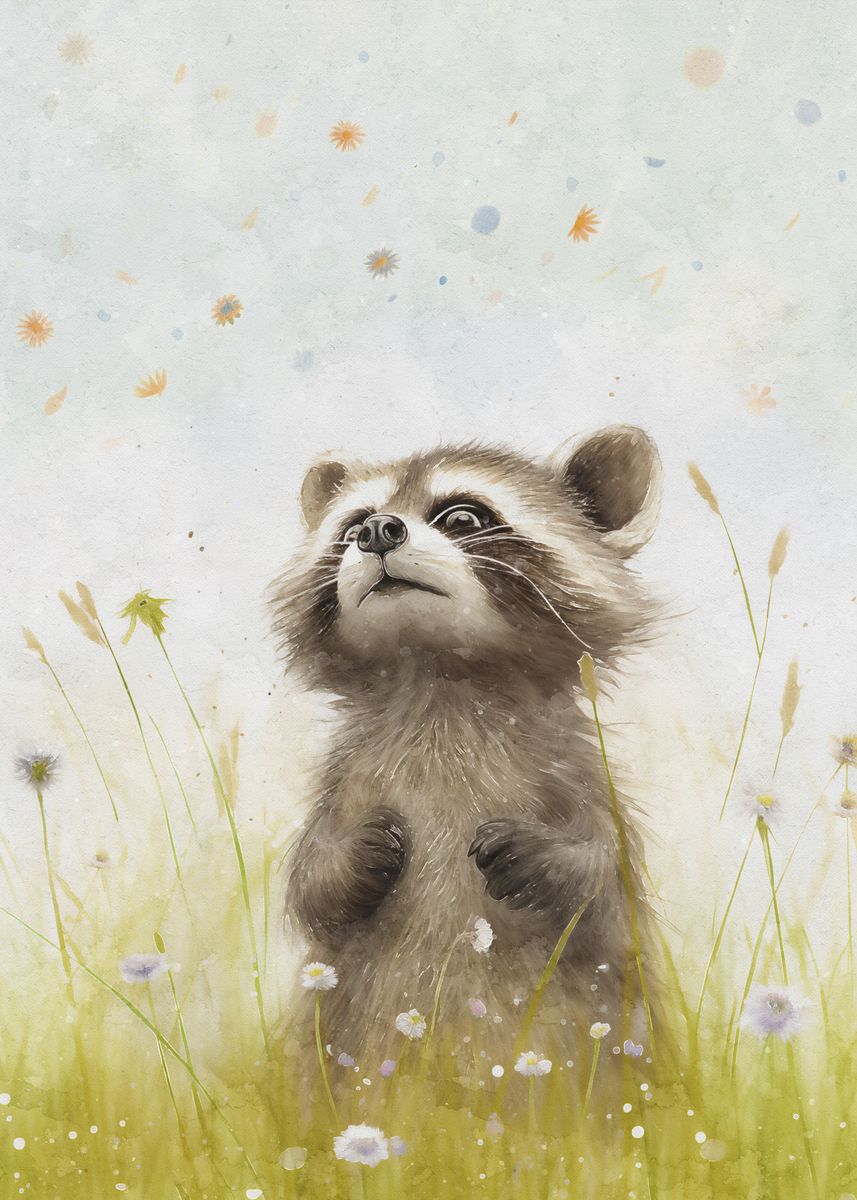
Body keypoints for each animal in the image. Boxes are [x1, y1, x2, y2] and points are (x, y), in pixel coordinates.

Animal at [273, 425, 662, 1070]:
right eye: (352, 527)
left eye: (462, 516)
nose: (377, 532)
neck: (440, 679)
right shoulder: (345, 778)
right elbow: (310, 886)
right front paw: (351, 856)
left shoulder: (577, 769)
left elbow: (610, 888)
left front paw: (555, 860)